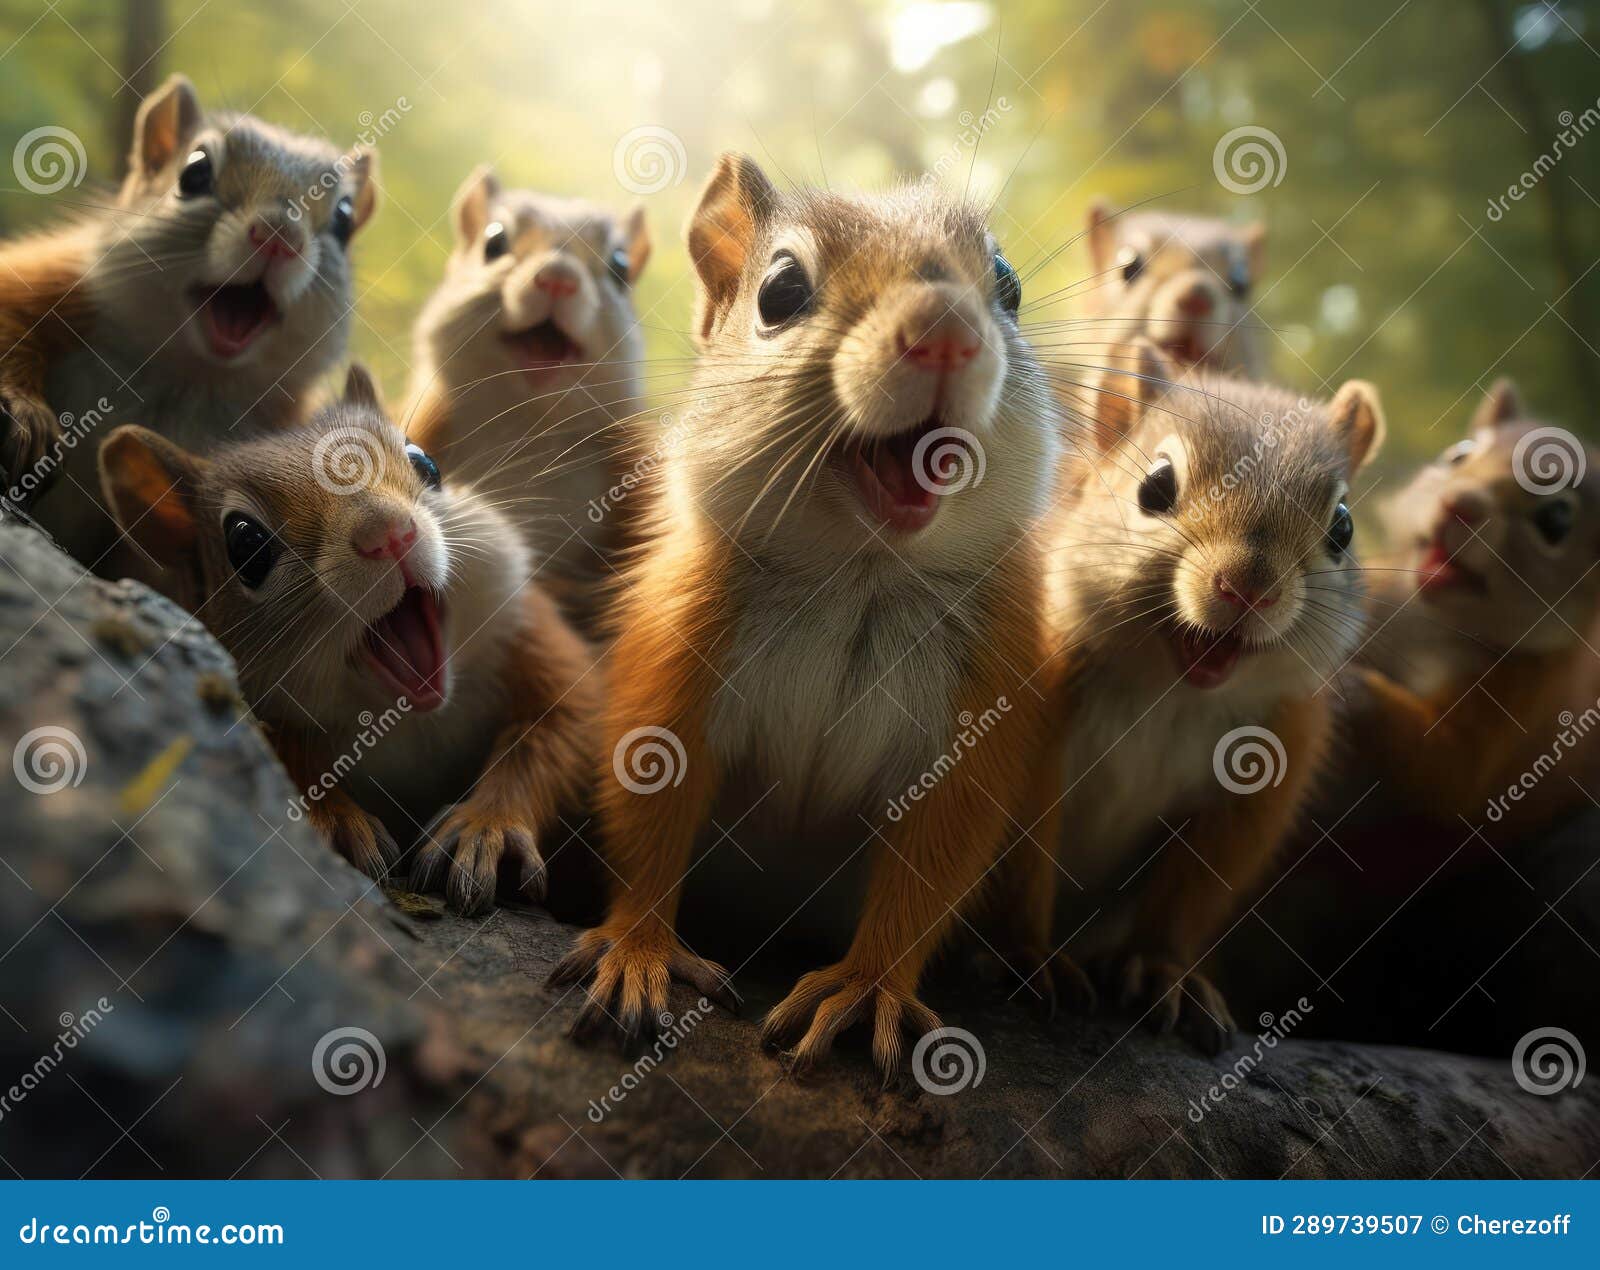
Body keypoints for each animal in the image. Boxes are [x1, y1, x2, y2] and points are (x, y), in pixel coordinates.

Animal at [1, 73, 377, 570]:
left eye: (344, 218)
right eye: (194, 173)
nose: (279, 235)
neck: (187, 374)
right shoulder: (53, 285)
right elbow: (9, 323)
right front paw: (25, 413)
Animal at [96, 364, 596, 916]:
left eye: (426, 463)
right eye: (246, 543)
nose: (389, 532)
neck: (403, 717)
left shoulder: (530, 634)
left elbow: (562, 726)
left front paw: (486, 827)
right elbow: (285, 757)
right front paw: (338, 820)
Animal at [549, 153, 1063, 1078]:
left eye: (1007, 285)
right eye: (780, 291)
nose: (945, 328)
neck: (860, 574)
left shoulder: (985, 700)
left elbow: (938, 853)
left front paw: (868, 988)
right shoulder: (678, 642)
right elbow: (650, 812)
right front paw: (639, 950)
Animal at [998, 339, 1384, 1052]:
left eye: (1343, 527)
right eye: (1154, 488)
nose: (1247, 587)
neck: (1171, 692)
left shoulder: (1266, 768)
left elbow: (1193, 892)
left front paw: (1164, 971)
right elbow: (1015, 848)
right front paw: (1024, 956)